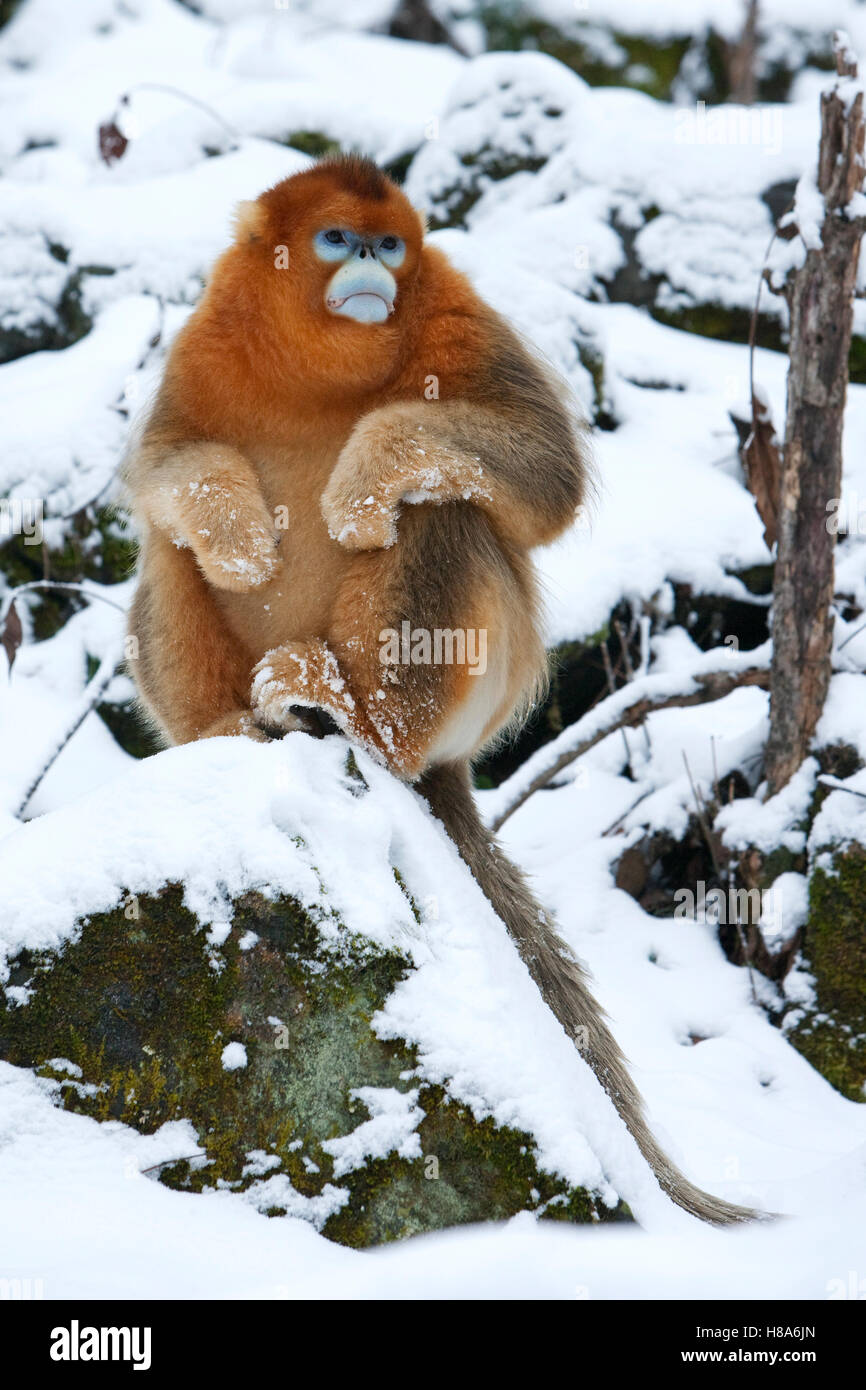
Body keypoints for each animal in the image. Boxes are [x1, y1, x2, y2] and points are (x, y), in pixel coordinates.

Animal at [125, 155, 762, 1227]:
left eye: (391, 246)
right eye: (338, 240)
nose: (371, 269)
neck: (324, 362)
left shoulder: (458, 315)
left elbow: (543, 473)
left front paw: (357, 484)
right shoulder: (204, 338)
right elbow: (161, 471)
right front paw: (242, 536)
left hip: (481, 693)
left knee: (443, 511)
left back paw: (356, 717)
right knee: (168, 547)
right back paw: (229, 726)